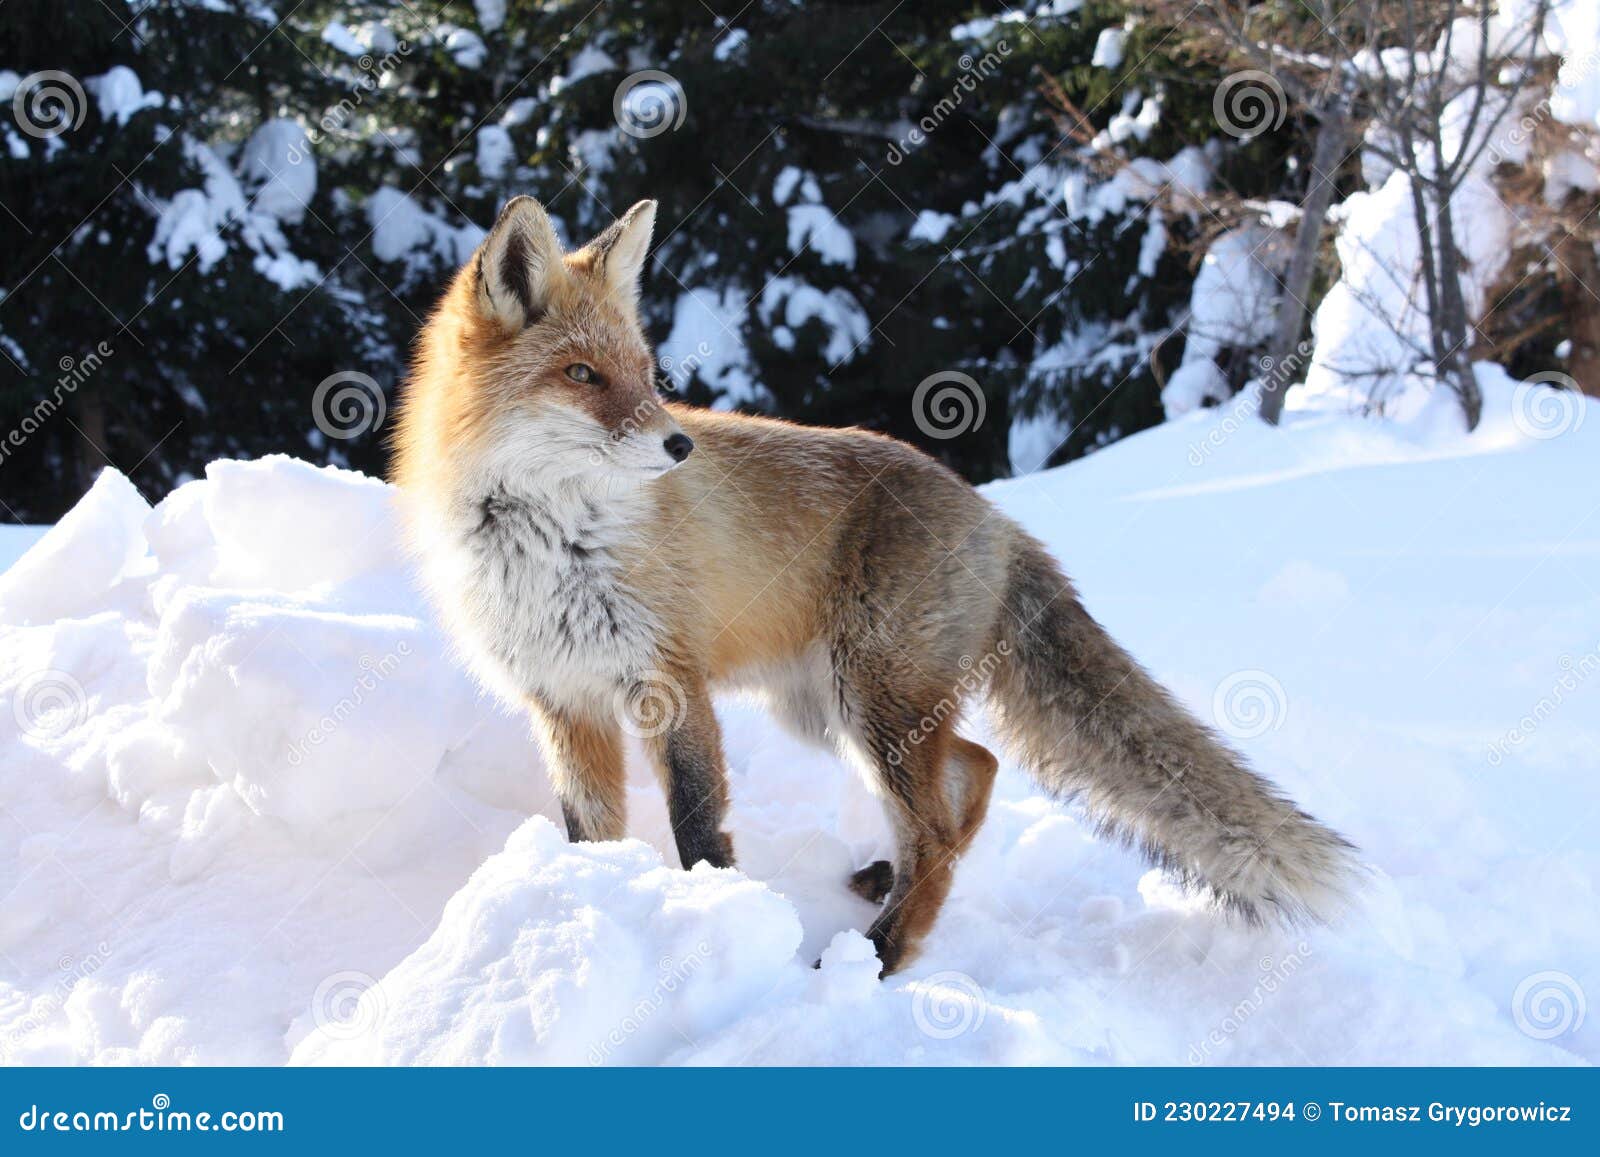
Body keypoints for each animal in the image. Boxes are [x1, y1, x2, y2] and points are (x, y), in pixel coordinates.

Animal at [391, 195, 1358, 975]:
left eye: (646, 372)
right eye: (582, 375)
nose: (679, 446)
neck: (551, 545)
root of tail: (994, 514)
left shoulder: (670, 682)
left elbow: (700, 827)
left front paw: (713, 916)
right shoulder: (563, 701)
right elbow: (590, 834)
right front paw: (592, 900)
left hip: (871, 704)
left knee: (936, 821)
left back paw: (885, 953)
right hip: (832, 710)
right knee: (973, 772)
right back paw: (890, 886)